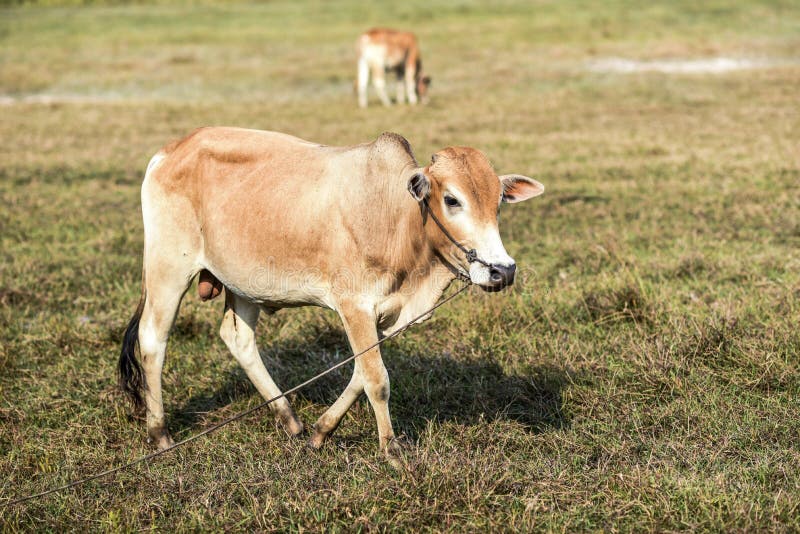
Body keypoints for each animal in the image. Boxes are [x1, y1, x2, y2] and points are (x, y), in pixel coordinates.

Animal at [119, 127, 544, 462]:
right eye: (453, 199)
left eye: (498, 202)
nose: (503, 270)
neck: (396, 218)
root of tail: (171, 150)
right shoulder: (353, 305)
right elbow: (377, 379)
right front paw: (391, 450)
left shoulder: (384, 316)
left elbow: (361, 372)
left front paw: (321, 432)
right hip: (169, 268)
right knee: (153, 339)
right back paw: (160, 433)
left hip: (244, 283)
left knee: (237, 338)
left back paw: (289, 419)